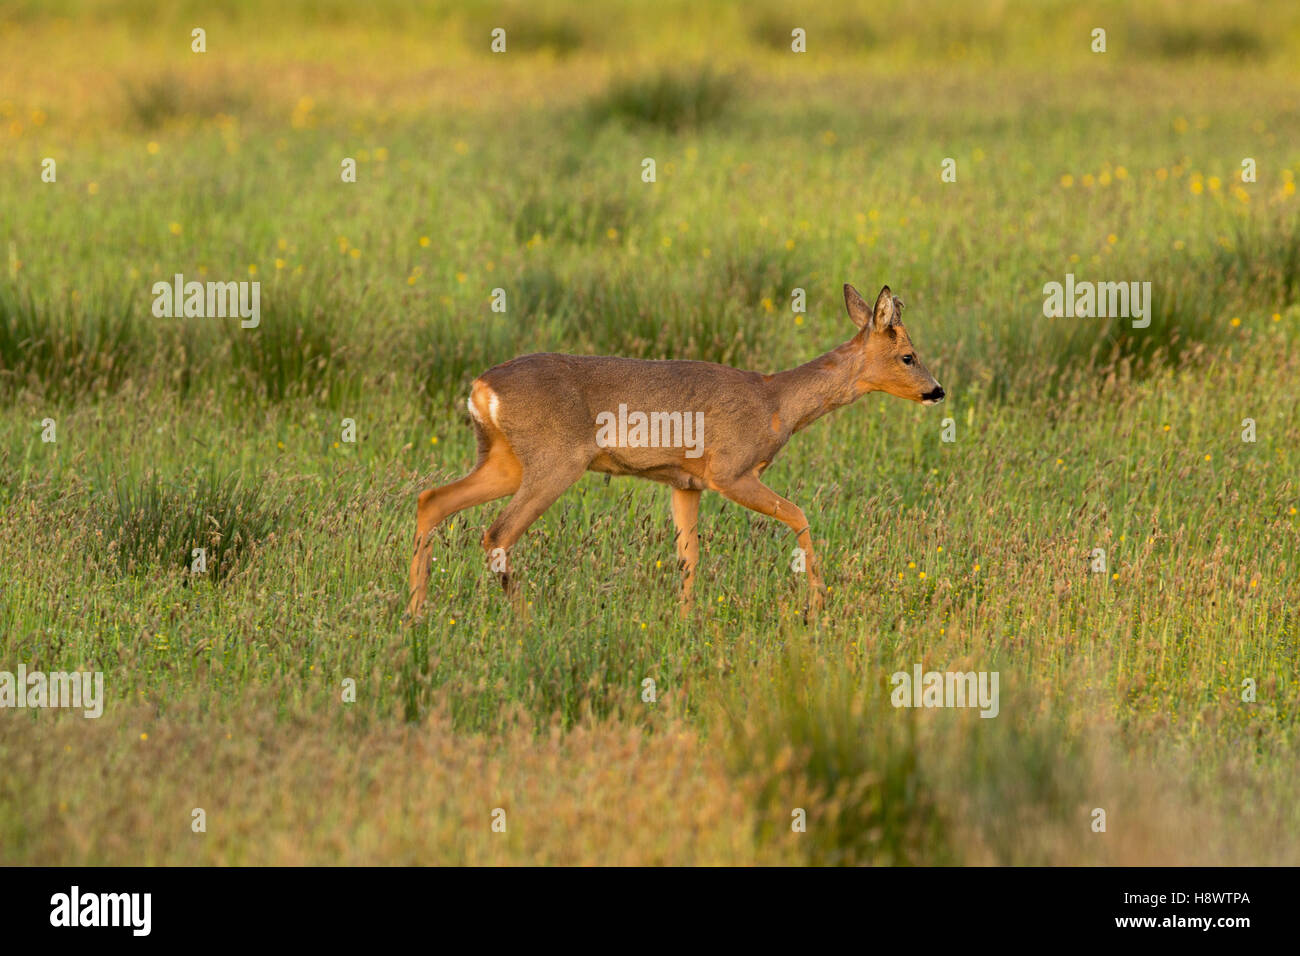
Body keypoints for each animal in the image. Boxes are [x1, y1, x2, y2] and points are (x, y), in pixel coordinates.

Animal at [406, 283, 944, 620]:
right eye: (908, 356)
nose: (937, 391)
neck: (775, 402)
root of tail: (481, 388)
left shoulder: (686, 484)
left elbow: (689, 557)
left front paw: (684, 623)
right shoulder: (731, 471)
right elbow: (800, 515)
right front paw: (818, 605)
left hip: (503, 460)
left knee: (431, 500)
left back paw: (414, 613)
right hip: (553, 463)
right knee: (496, 534)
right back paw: (526, 620)